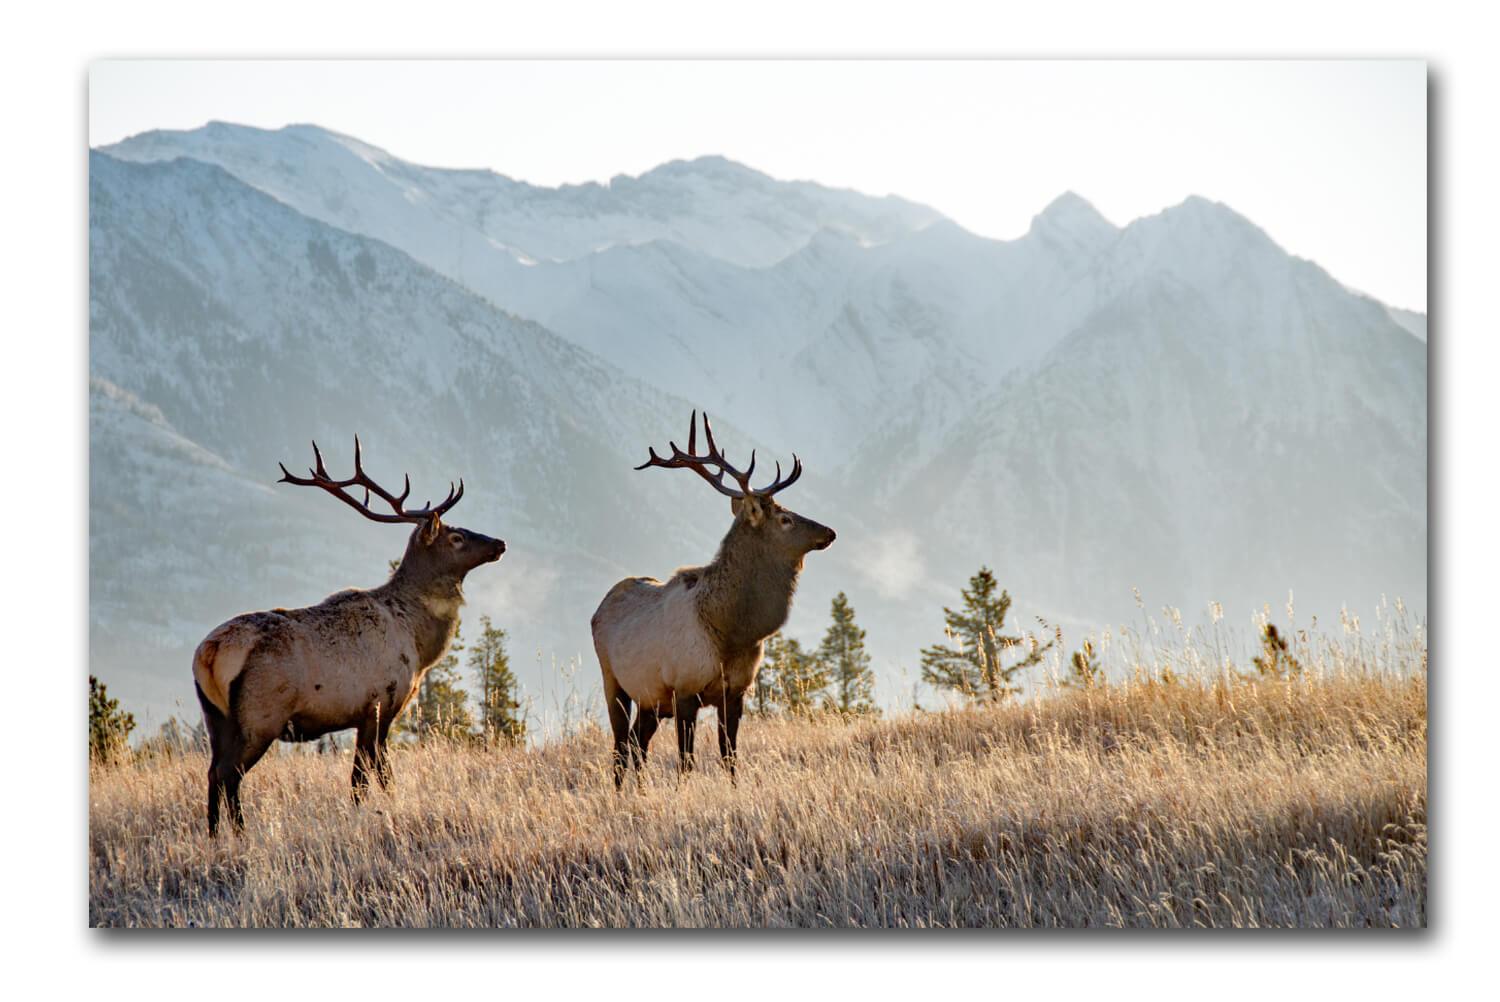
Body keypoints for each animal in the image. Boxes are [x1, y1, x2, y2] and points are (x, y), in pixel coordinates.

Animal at [190, 439, 505, 836]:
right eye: (457, 537)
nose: (499, 542)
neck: (419, 644)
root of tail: (209, 653)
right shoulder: (381, 704)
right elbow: (373, 776)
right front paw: (378, 812)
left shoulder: (363, 715)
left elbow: (364, 776)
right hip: (259, 717)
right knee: (229, 775)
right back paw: (242, 834)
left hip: (215, 717)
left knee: (213, 774)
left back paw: (216, 837)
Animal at [590, 411, 836, 788]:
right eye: (785, 519)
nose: (830, 532)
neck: (732, 632)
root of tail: (598, 609)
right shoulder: (684, 690)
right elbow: (686, 761)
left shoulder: (735, 692)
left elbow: (729, 756)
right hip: (614, 681)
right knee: (620, 746)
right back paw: (620, 793)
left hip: (650, 699)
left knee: (636, 742)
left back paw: (640, 792)